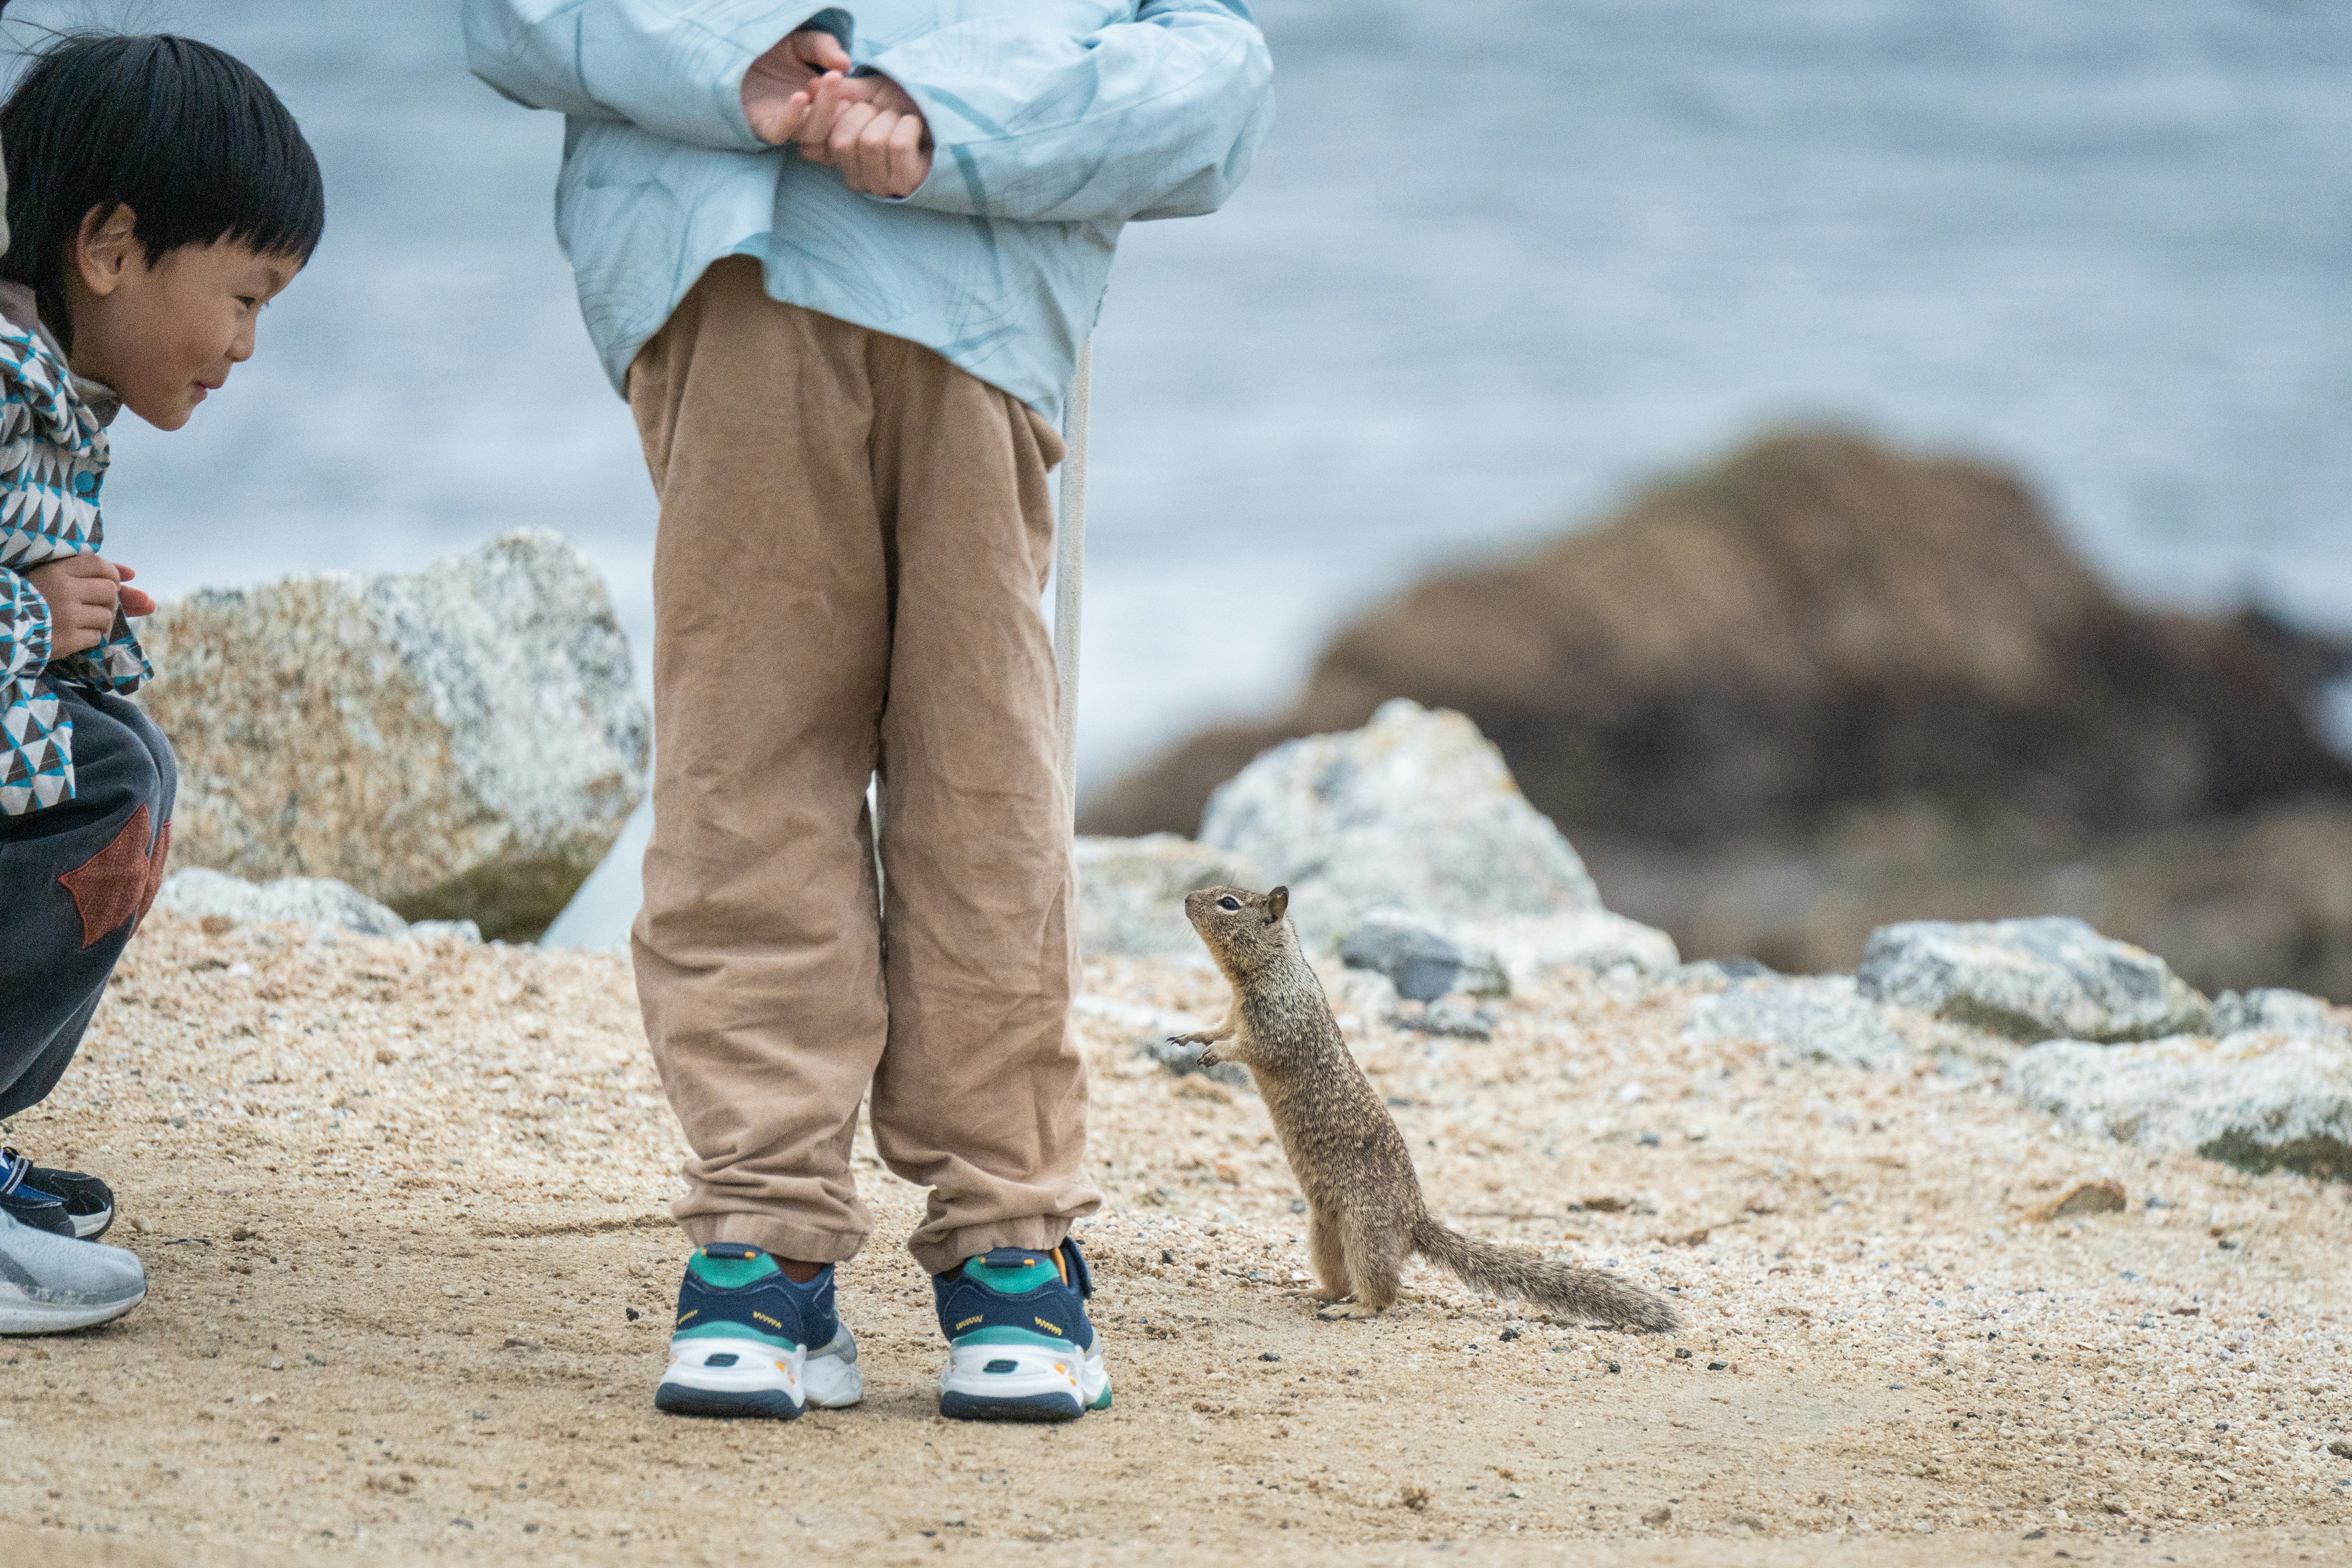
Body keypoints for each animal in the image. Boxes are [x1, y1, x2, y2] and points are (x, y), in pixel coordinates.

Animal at [1172, 884, 1677, 1333]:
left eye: (1229, 903)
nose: (1187, 898)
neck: (1269, 971)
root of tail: (1414, 1222)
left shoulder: (1276, 1024)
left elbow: (1250, 1049)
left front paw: (1215, 1055)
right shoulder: (1234, 1014)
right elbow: (1220, 1027)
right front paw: (1192, 1036)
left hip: (1365, 1230)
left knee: (1384, 1292)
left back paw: (1354, 1310)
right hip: (1323, 1231)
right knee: (1339, 1280)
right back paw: (1313, 1291)